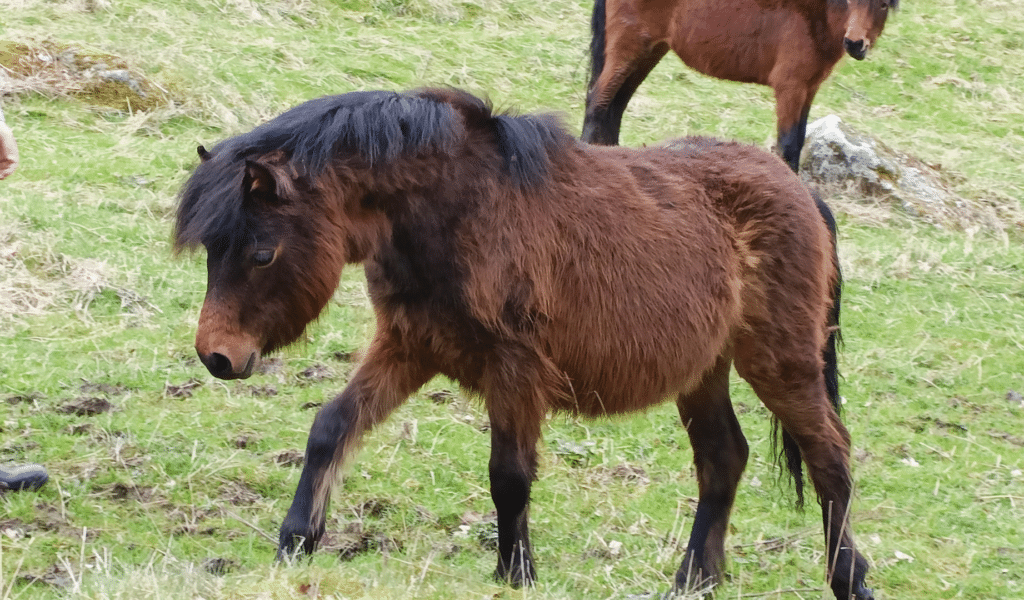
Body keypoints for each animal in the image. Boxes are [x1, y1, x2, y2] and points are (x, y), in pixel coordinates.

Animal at [175, 87, 873, 600]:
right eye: (213, 250)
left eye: (262, 253)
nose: (218, 356)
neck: (457, 207)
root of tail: (803, 192)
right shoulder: (409, 347)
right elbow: (331, 427)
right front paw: (296, 540)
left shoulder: (514, 369)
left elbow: (508, 475)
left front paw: (516, 573)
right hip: (704, 371)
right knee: (724, 457)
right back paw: (694, 579)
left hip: (779, 361)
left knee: (830, 458)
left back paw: (849, 579)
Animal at [581, 0, 897, 172]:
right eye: (850, 0)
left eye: (883, 4)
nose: (855, 44)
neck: (817, 16)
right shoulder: (791, 88)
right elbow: (788, 146)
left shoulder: (809, 89)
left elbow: (797, 142)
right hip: (629, 47)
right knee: (598, 103)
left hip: (650, 51)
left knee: (614, 107)